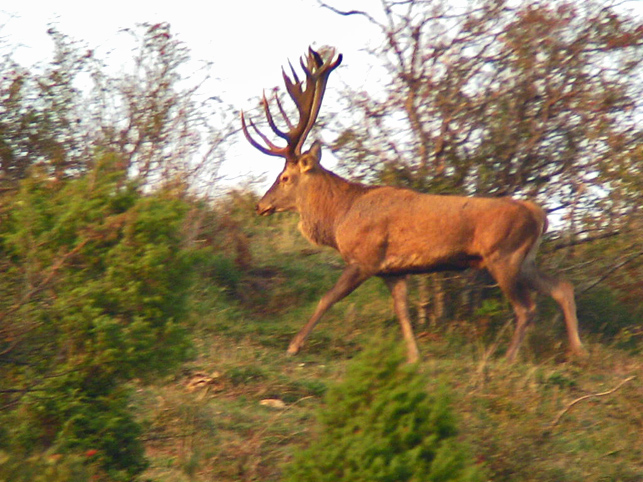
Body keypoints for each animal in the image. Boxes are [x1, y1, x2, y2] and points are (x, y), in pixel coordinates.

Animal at [240, 47, 585, 363]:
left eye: (285, 177)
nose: (260, 206)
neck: (340, 216)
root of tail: (539, 214)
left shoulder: (364, 258)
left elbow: (327, 299)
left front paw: (294, 345)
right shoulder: (393, 271)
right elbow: (402, 311)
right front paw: (413, 355)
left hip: (504, 255)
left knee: (526, 307)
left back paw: (509, 358)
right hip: (524, 259)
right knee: (563, 287)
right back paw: (577, 352)